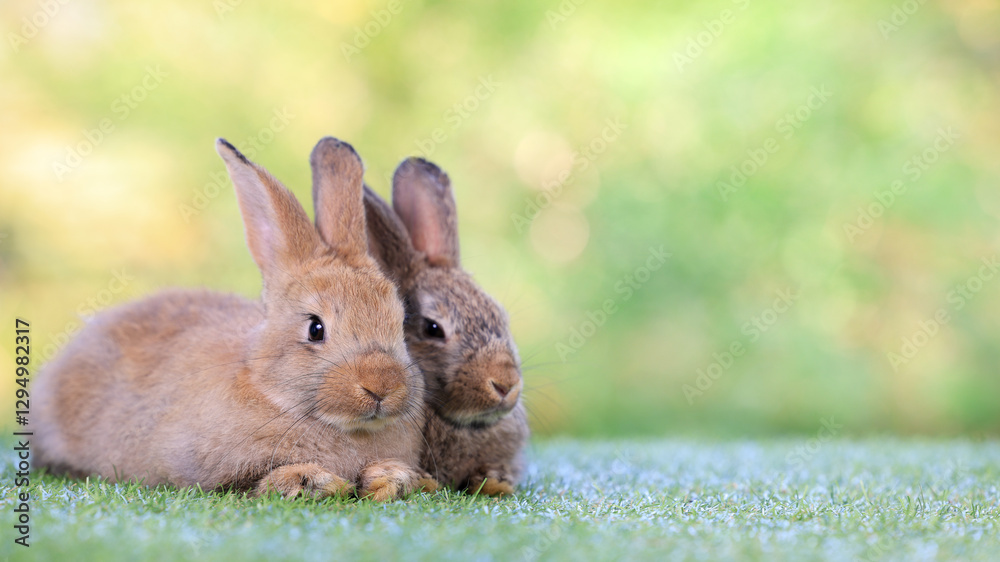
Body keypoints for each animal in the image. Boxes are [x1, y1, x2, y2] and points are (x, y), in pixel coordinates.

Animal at [31, 137, 436, 501]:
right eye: (315, 328)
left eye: (400, 322)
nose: (382, 386)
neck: (271, 392)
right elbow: (254, 481)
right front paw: (317, 483)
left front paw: (390, 479)